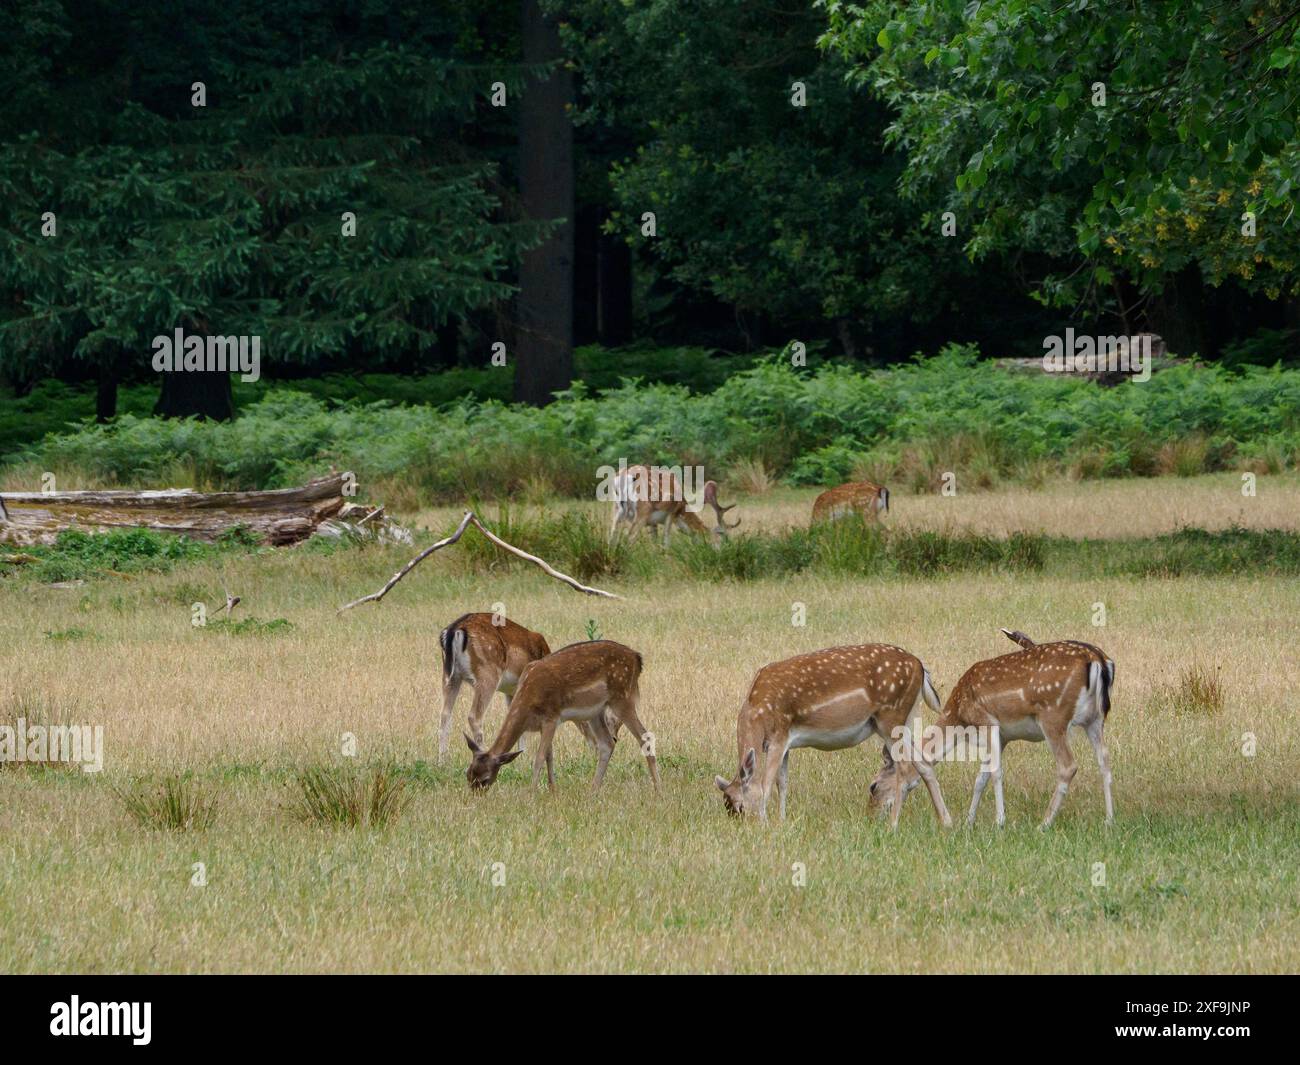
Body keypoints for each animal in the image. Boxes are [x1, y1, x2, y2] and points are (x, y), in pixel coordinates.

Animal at [465, 640, 659, 794]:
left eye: (485, 779)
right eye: (468, 773)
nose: (475, 796)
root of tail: (637, 659)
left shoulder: (552, 717)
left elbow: (539, 758)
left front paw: (531, 793)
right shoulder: (544, 725)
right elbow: (549, 755)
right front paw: (552, 790)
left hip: (622, 697)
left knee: (644, 737)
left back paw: (658, 790)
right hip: (596, 711)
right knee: (607, 743)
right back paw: (592, 791)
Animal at [608, 464, 739, 544]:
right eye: (723, 540)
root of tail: (623, 475)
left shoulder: (653, 522)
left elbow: (655, 541)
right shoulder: (672, 512)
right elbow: (666, 541)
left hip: (617, 509)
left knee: (611, 536)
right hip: (642, 510)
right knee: (629, 538)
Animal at [713, 644, 952, 829]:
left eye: (740, 807)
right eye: (728, 809)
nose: (746, 827)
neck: (756, 712)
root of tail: (920, 666)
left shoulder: (779, 735)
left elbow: (766, 784)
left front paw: (766, 824)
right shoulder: (786, 743)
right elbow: (783, 782)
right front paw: (782, 822)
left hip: (891, 717)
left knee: (903, 767)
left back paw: (892, 825)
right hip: (904, 721)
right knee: (923, 764)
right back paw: (946, 822)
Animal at [869, 636, 1115, 828]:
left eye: (874, 786)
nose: (874, 814)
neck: (959, 718)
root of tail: (1098, 660)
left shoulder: (987, 721)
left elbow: (996, 772)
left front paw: (999, 821)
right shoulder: (1003, 736)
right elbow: (981, 777)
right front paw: (969, 822)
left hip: (1053, 716)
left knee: (1068, 766)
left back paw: (1044, 823)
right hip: (1095, 718)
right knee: (1104, 759)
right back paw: (1109, 820)